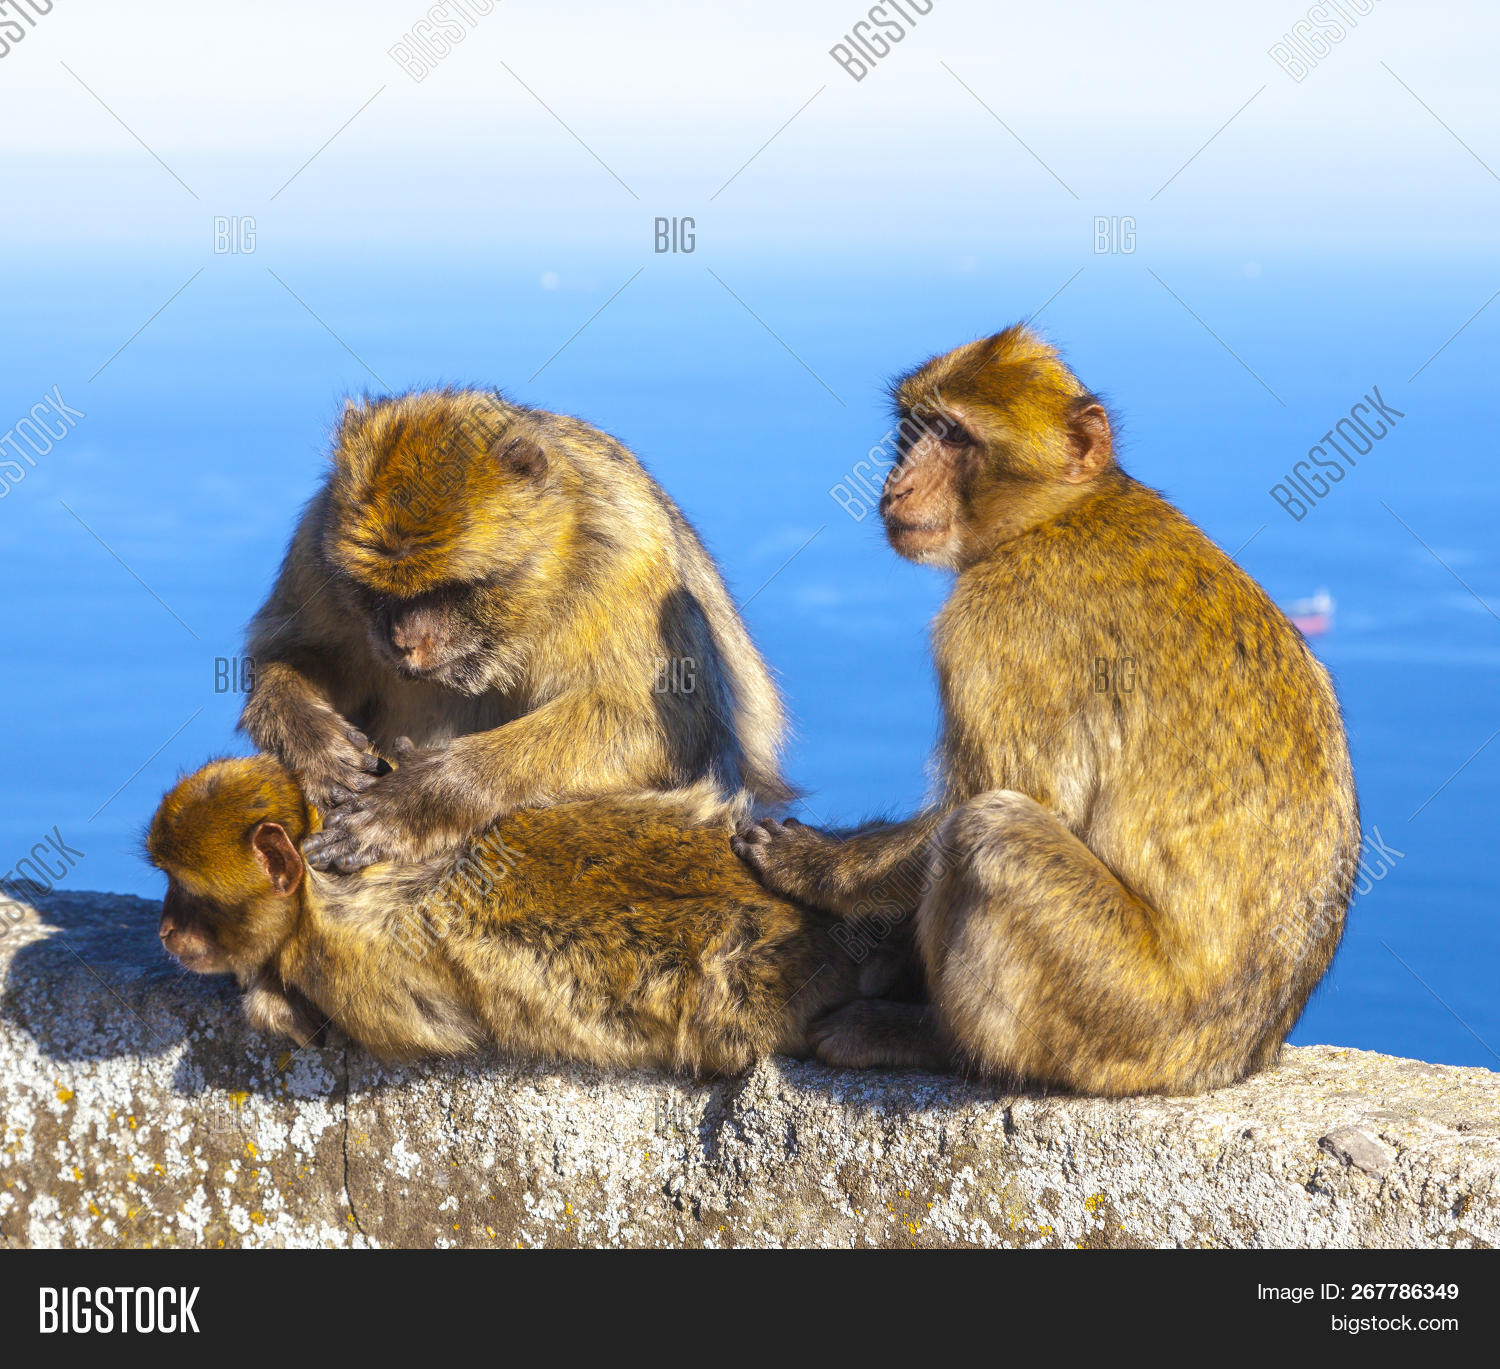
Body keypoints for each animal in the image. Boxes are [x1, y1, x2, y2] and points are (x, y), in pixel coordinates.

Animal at [240, 388, 790, 875]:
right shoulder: (315, 545)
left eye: (452, 590)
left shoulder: (630, 561)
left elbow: (649, 722)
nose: (405, 642)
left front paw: (429, 794)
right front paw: (312, 737)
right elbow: (292, 652)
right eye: (376, 592)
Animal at [733, 324, 1360, 1097]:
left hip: (1121, 1011)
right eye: (912, 428)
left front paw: (818, 867)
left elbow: (1000, 795)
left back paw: (932, 1040)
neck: (1056, 514)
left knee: (992, 831)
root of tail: (1228, 1059)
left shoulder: (993, 624)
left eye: (953, 434)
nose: (896, 484)